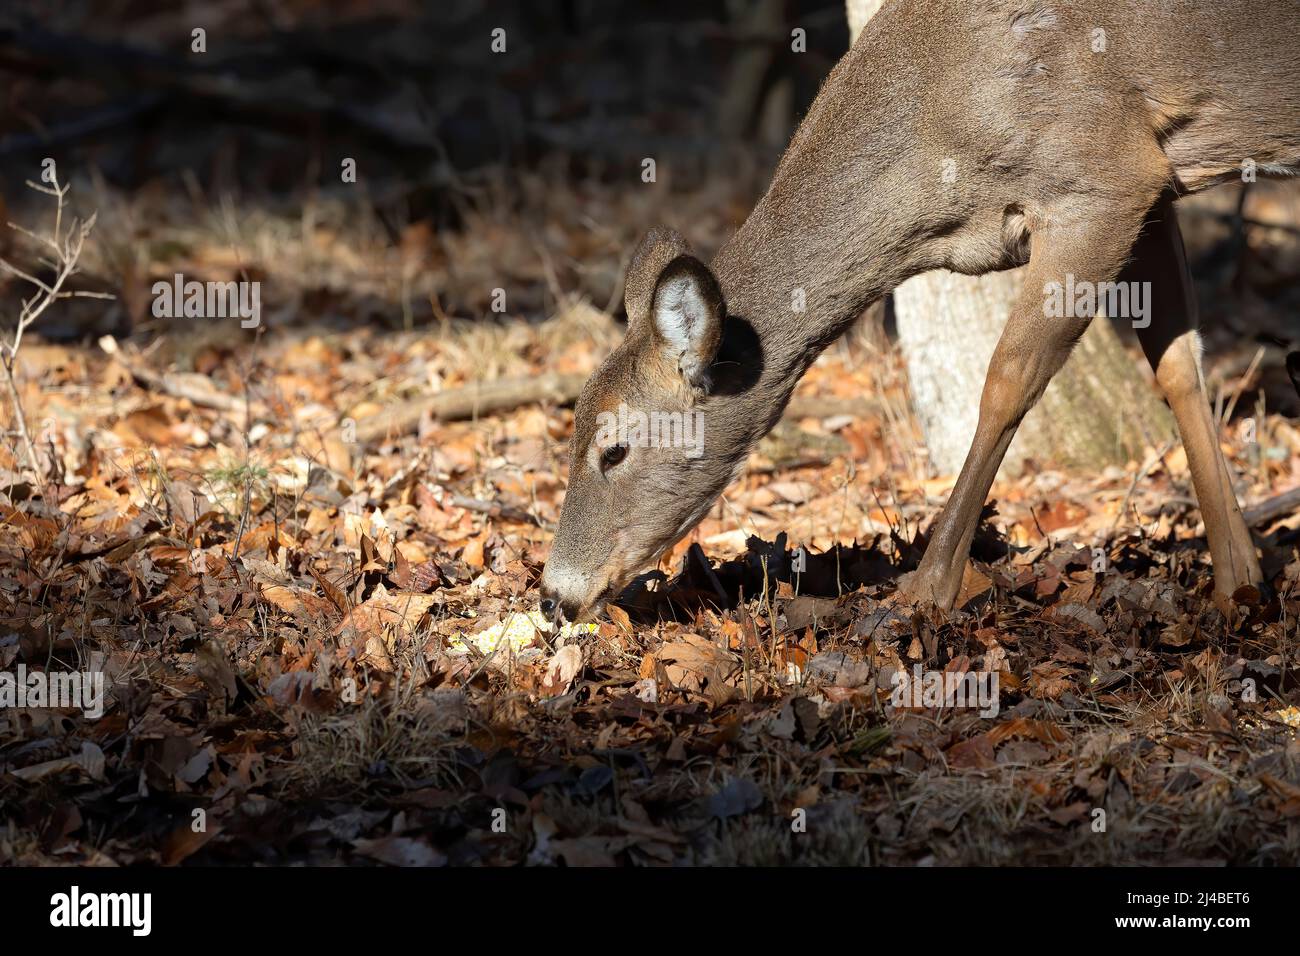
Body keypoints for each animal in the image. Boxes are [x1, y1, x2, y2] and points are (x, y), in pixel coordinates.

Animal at [538, 0, 1300, 625]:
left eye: (614, 449)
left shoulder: (1102, 174)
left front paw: (926, 589)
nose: (553, 594)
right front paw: (1240, 581)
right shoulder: (1156, 183)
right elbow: (1178, 364)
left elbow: (1008, 379)